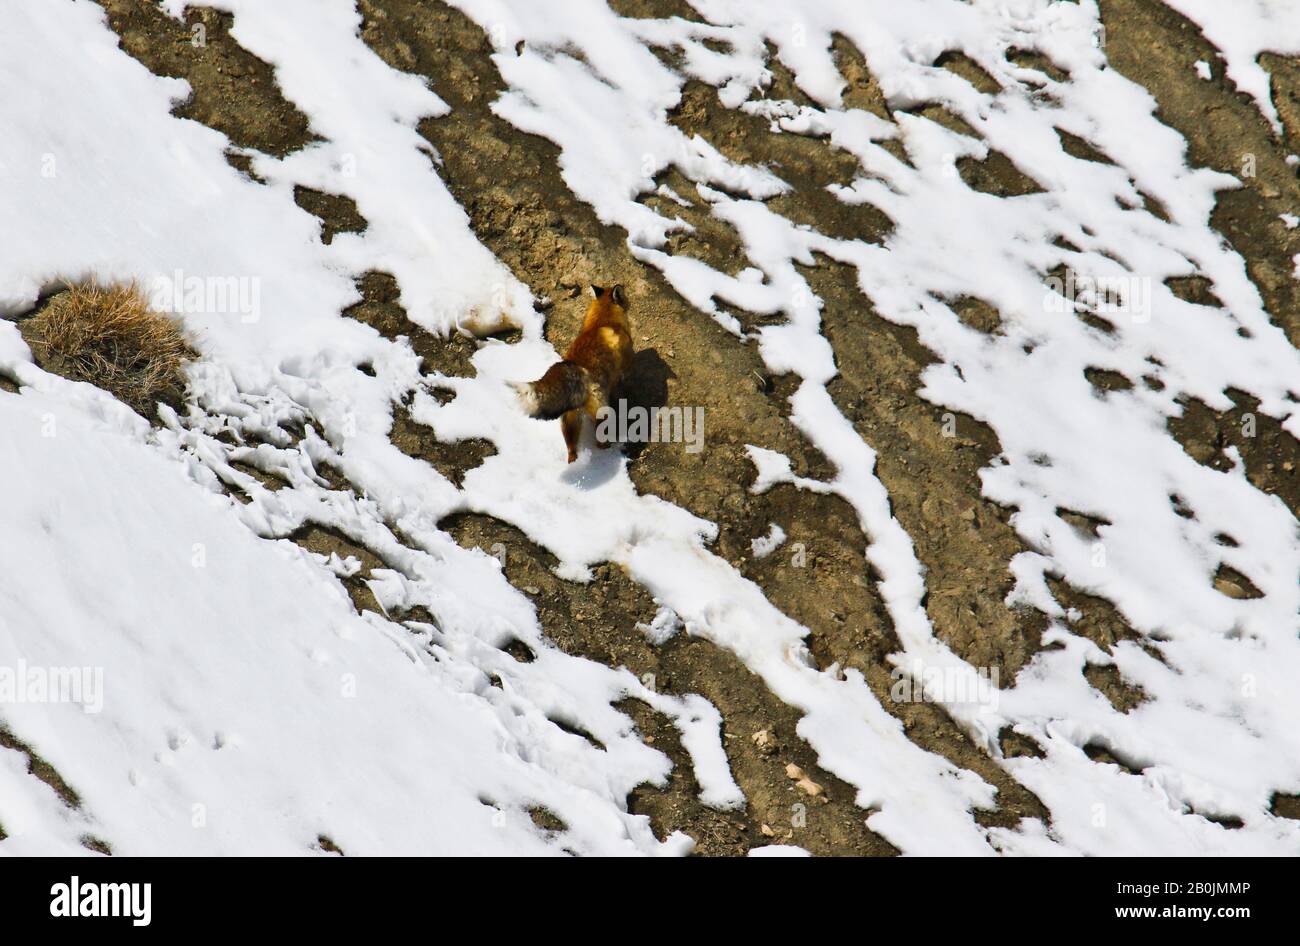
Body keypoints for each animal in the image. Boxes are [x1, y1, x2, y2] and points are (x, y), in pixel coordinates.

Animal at [513, 284, 632, 463]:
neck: (603, 321)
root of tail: (574, 369)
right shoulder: (623, 364)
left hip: (570, 419)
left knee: (570, 447)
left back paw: (574, 460)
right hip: (600, 408)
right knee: (598, 437)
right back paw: (606, 448)